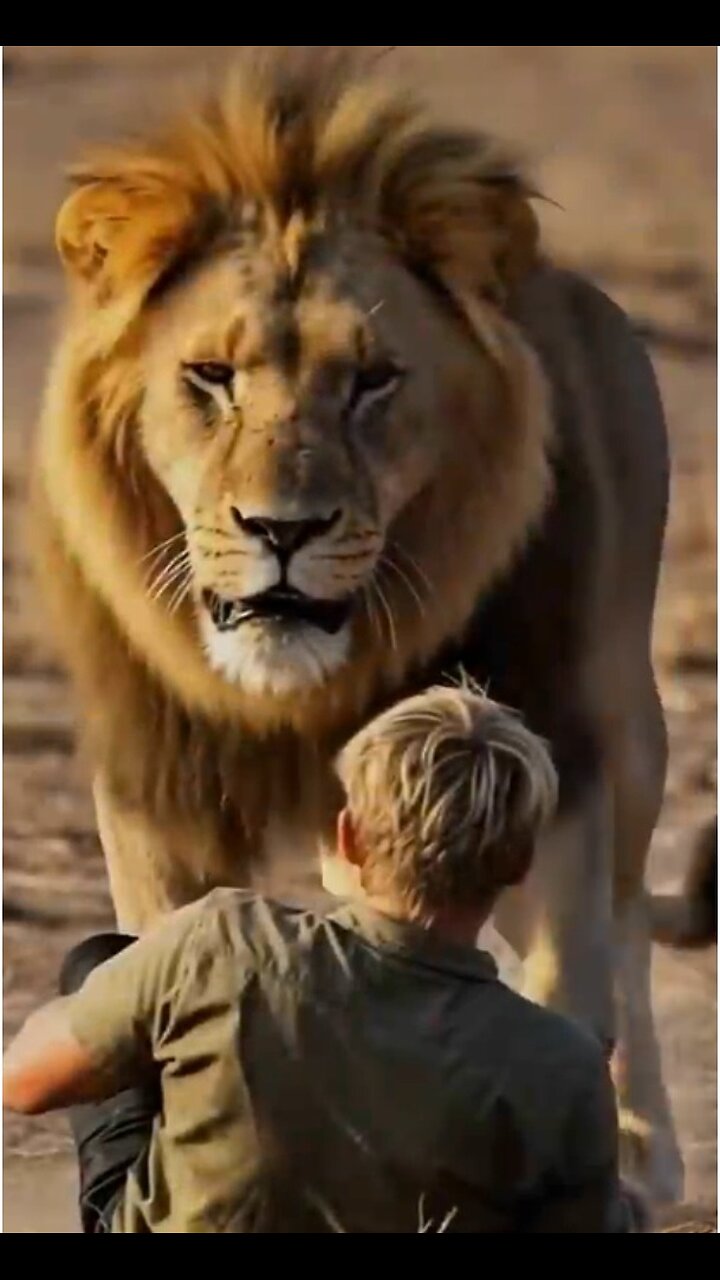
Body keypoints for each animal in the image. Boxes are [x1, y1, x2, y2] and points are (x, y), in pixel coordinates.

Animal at [33, 50, 681, 1200]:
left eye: (373, 380)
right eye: (210, 376)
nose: (282, 529)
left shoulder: (552, 740)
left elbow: (573, 973)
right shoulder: (158, 785)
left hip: (626, 714)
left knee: (631, 912)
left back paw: (649, 1142)